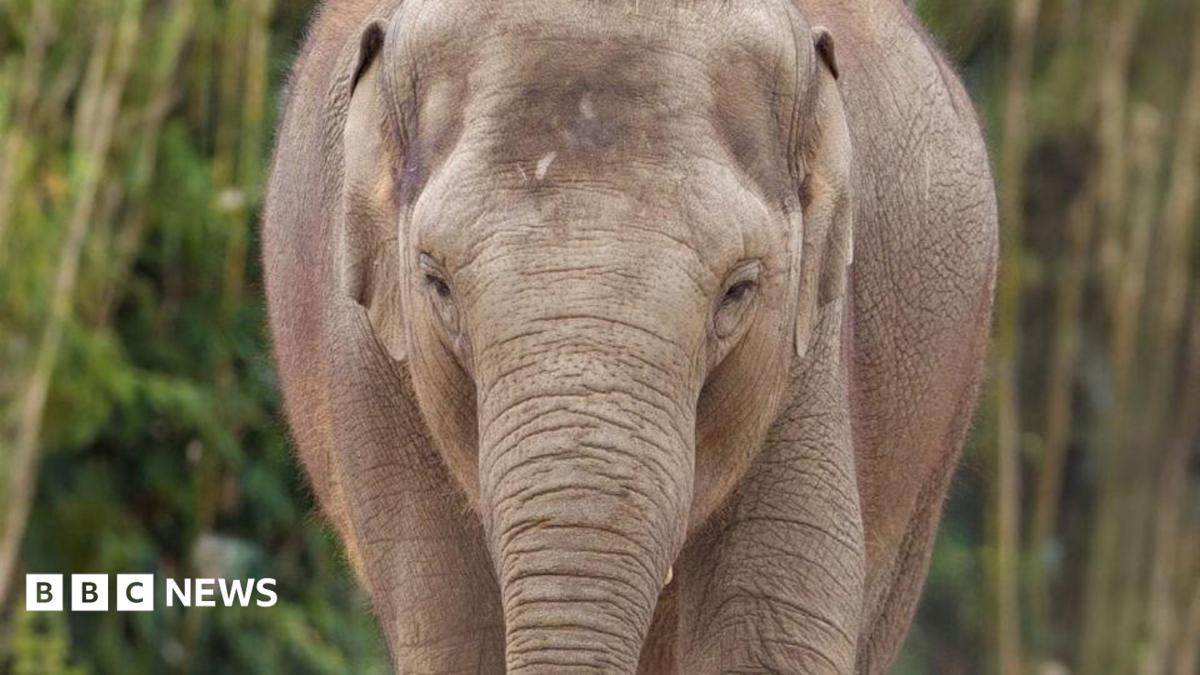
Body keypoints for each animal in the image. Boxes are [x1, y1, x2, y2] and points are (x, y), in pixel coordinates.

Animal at [261, 0, 997, 672]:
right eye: (435, 282)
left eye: (739, 290)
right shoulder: (366, 362)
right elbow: (455, 637)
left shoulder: (808, 345)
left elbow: (763, 639)